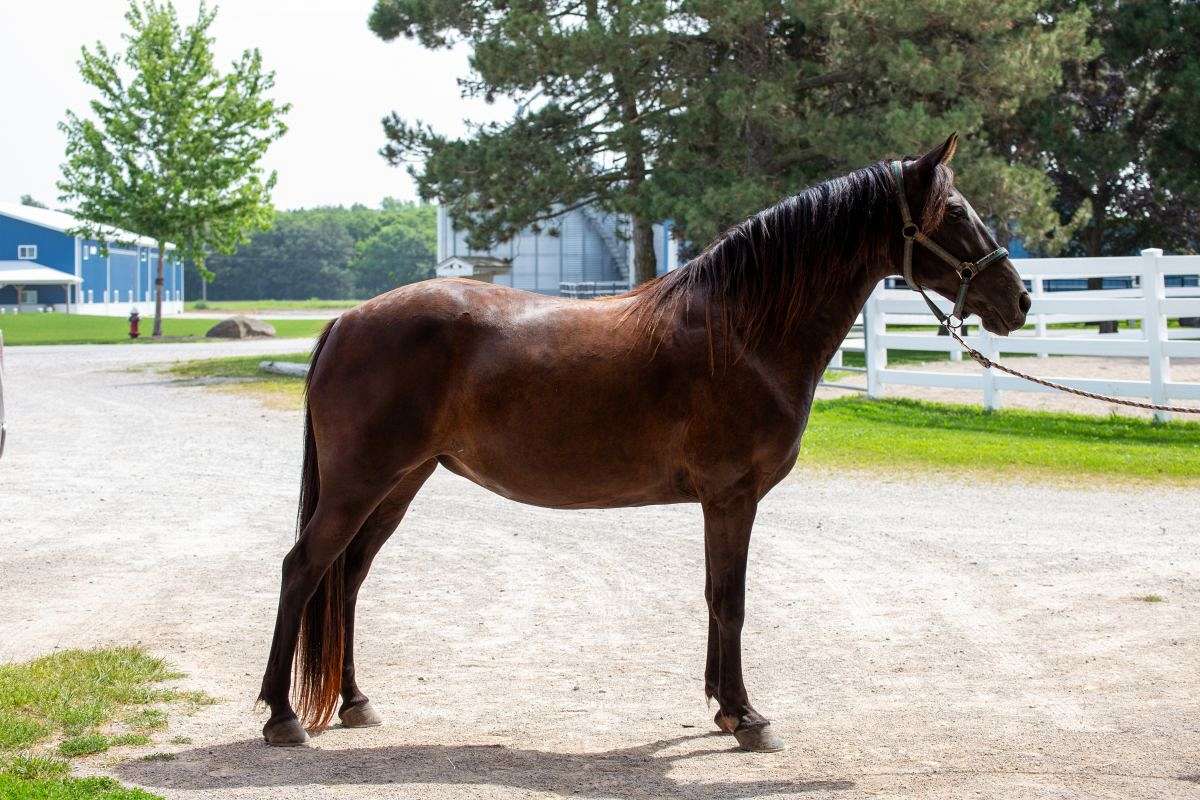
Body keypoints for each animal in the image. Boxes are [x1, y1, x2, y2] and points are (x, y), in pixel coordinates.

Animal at [258, 133, 1031, 751]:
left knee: (348, 577)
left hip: (400, 482)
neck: (741, 330)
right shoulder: (731, 497)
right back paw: (280, 717)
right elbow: (730, 600)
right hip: (362, 483)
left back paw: (356, 702)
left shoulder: (722, 501)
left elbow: (717, 595)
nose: (1018, 299)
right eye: (954, 213)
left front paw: (722, 708)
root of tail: (346, 321)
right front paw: (746, 716)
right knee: (304, 569)